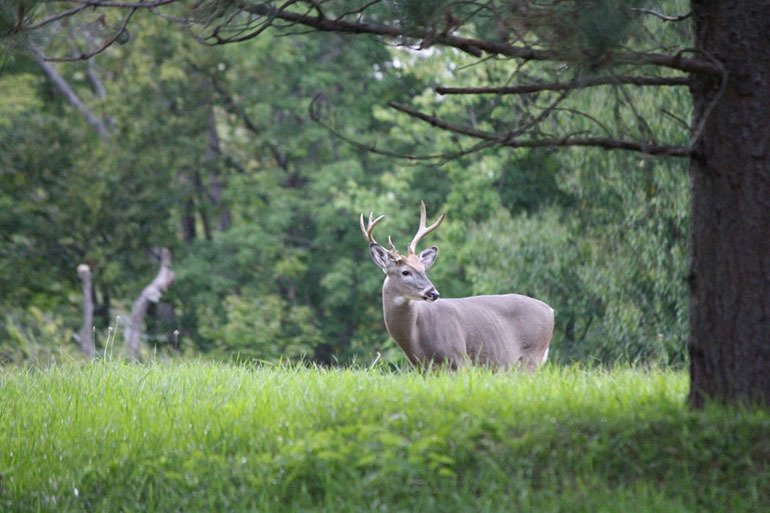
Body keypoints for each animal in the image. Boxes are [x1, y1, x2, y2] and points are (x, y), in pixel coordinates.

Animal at [360, 202, 554, 371]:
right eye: (406, 272)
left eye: (424, 269)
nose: (433, 292)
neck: (414, 334)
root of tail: (550, 310)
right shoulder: (423, 368)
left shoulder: (458, 356)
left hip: (532, 355)